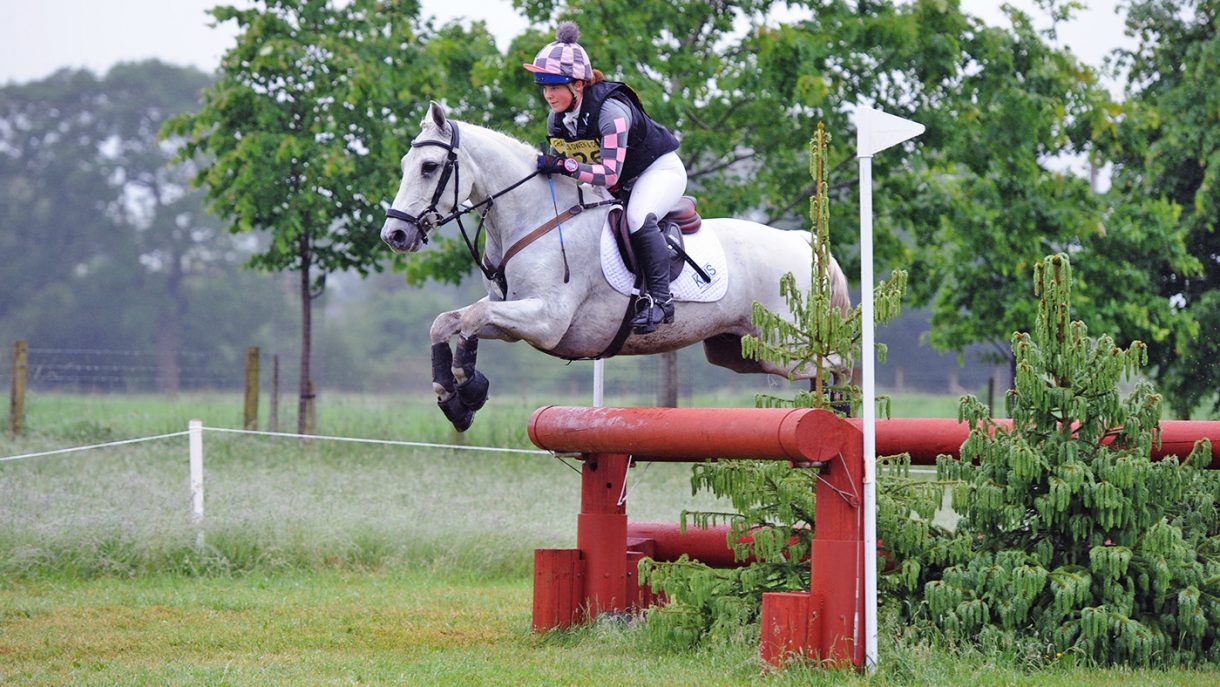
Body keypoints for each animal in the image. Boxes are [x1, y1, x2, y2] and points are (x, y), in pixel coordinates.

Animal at [381, 102, 851, 431]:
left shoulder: (547, 320)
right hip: (742, 351)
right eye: (405, 166)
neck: (536, 216)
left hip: (785, 346)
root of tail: (802, 240)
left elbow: (473, 318)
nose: (395, 235)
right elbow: (448, 321)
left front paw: (470, 390)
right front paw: (452, 400)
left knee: (836, 364)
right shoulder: (516, 316)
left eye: (429, 167)